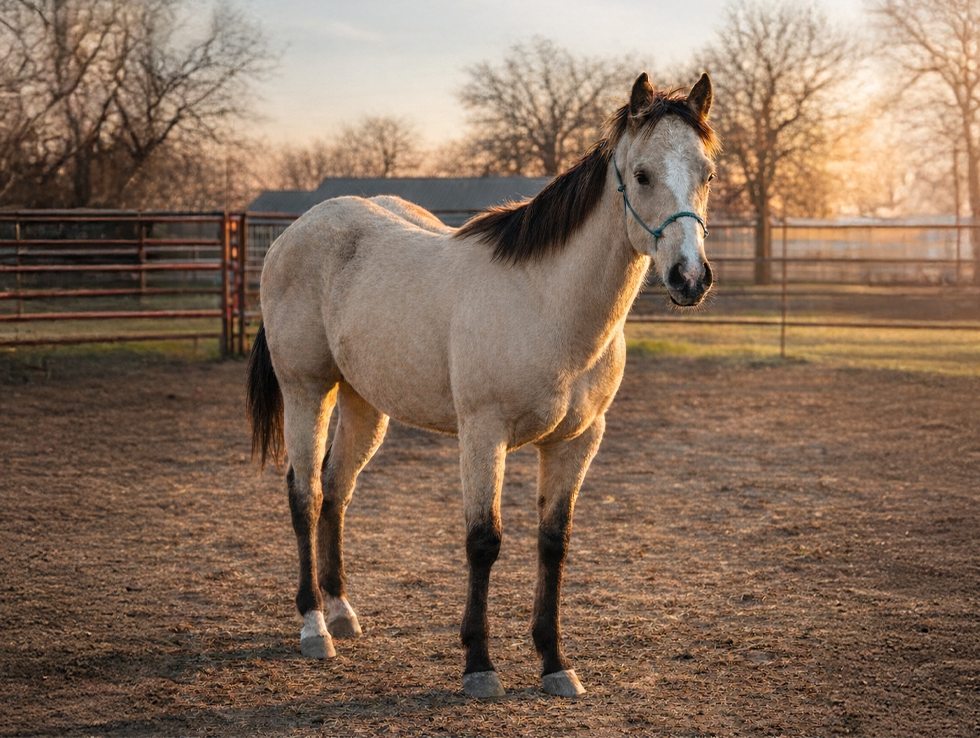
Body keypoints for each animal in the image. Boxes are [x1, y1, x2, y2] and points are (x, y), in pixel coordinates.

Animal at [246, 71, 718, 699]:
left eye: (707, 174)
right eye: (642, 175)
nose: (689, 278)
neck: (547, 302)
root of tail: (292, 234)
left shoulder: (577, 442)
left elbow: (553, 544)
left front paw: (555, 662)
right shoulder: (482, 434)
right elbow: (483, 542)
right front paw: (478, 665)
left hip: (364, 403)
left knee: (337, 490)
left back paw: (343, 612)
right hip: (307, 390)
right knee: (307, 494)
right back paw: (314, 627)